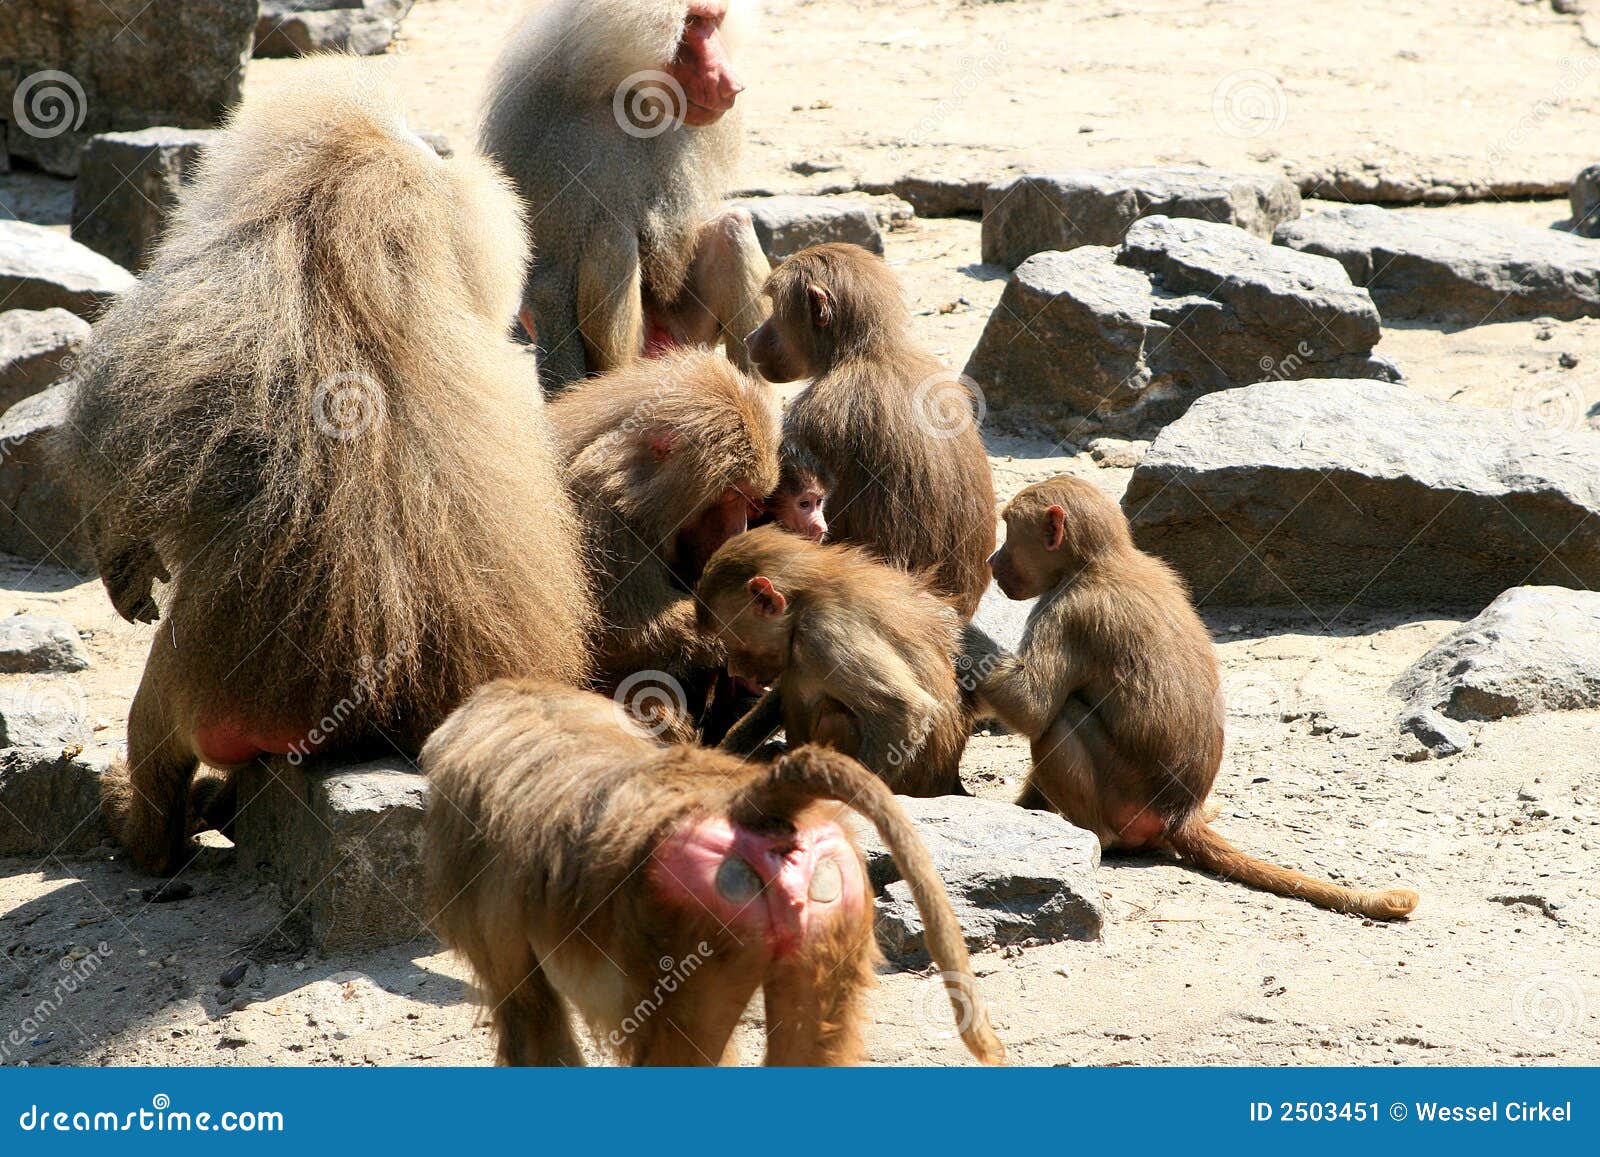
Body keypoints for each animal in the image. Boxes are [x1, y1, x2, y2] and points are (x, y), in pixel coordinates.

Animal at [51, 59, 594, 876]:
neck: (344, 261)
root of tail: (376, 693)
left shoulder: (177, 311)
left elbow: (118, 464)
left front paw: (126, 574)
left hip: (207, 686)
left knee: (154, 731)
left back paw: (144, 832)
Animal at [481, 0, 770, 390]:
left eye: (714, 20)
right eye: (693, 21)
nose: (733, 84)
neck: (630, 98)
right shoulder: (546, 136)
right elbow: (547, 284)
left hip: (688, 336)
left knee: (733, 226)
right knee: (612, 238)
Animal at [695, 526, 974, 797]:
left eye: (731, 639)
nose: (734, 671)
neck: (805, 599)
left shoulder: (823, 634)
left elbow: (905, 710)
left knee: (830, 708)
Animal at [977, 474, 1420, 921]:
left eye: (1009, 531)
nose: (993, 562)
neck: (1098, 562)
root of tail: (1182, 812)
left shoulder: (1064, 613)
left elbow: (1031, 707)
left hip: (1124, 801)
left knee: (1062, 719)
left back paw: (1093, 835)